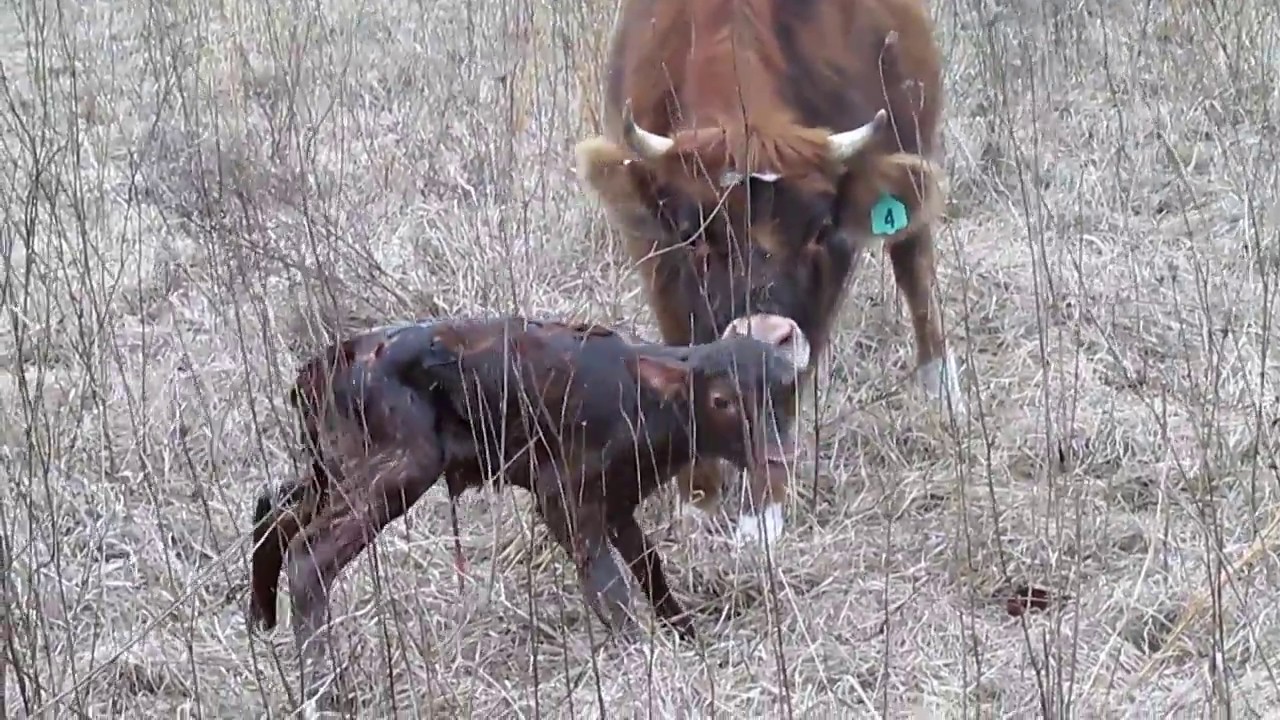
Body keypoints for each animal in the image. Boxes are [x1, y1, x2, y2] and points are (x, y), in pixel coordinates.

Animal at [248, 313, 812, 713]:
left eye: (789, 393)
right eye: (721, 400)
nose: (778, 457)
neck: (648, 404)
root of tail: (319, 369)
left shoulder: (618, 502)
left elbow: (650, 570)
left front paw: (685, 635)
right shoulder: (561, 494)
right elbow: (610, 587)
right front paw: (639, 656)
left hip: (333, 467)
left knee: (274, 507)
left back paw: (262, 622)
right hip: (397, 467)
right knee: (309, 556)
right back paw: (322, 690)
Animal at [574, 0, 958, 545]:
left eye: (819, 230)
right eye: (696, 235)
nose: (760, 334)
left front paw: (761, 515)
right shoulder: (653, 251)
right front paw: (699, 500)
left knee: (914, 265)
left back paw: (939, 385)